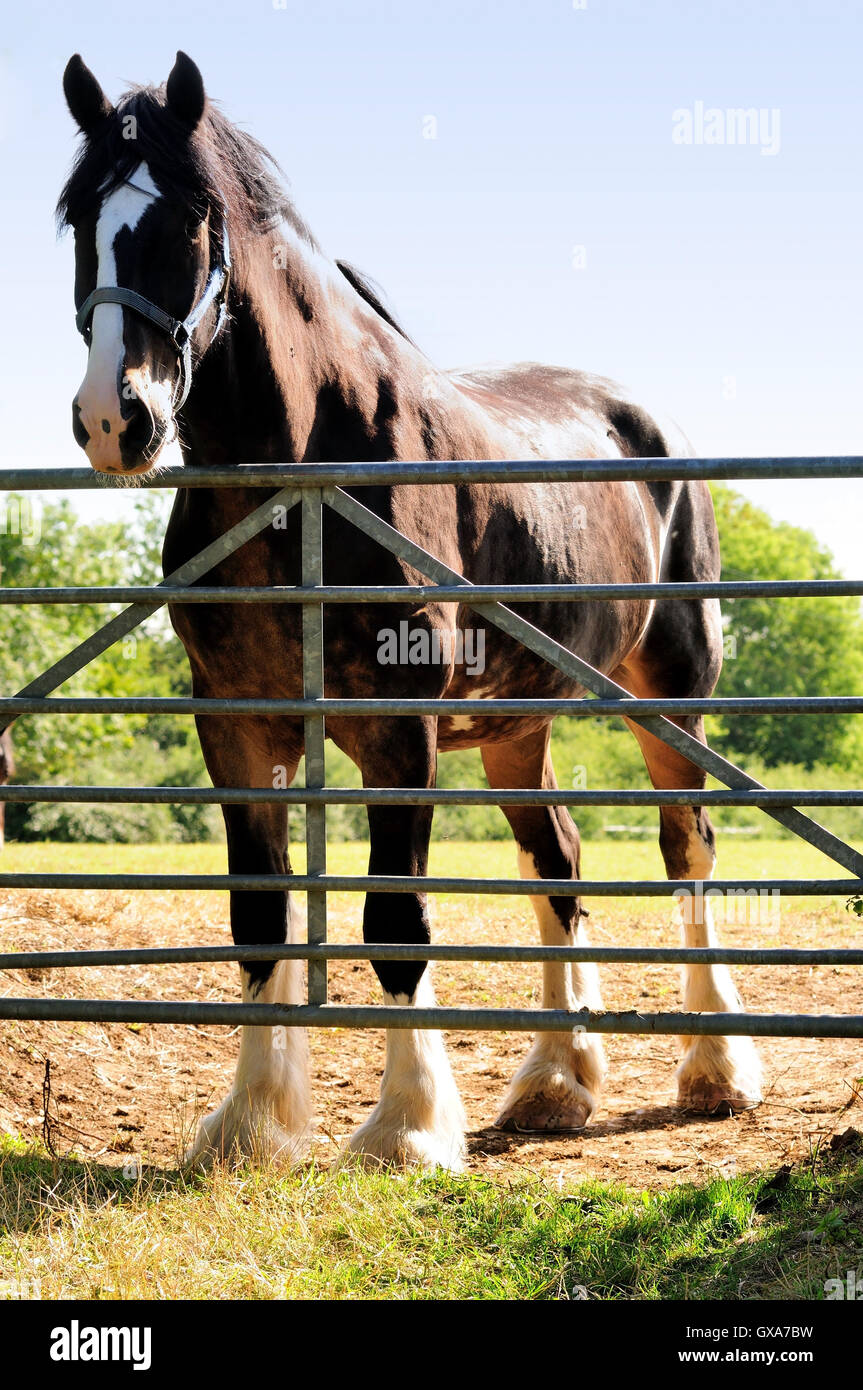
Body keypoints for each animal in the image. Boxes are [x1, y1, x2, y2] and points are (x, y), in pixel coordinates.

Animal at [58, 51, 762, 1170]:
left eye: (189, 220)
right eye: (83, 219)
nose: (112, 418)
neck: (304, 474)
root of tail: (647, 426)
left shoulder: (399, 733)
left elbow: (395, 920)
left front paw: (406, 1127)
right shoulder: (236, 727)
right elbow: (259, 917)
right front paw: (249, 1122)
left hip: (669, 703)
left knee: (685, 852)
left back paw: (714, 1067)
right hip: (519, 724)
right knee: (556, 860)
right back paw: (555, 1080)